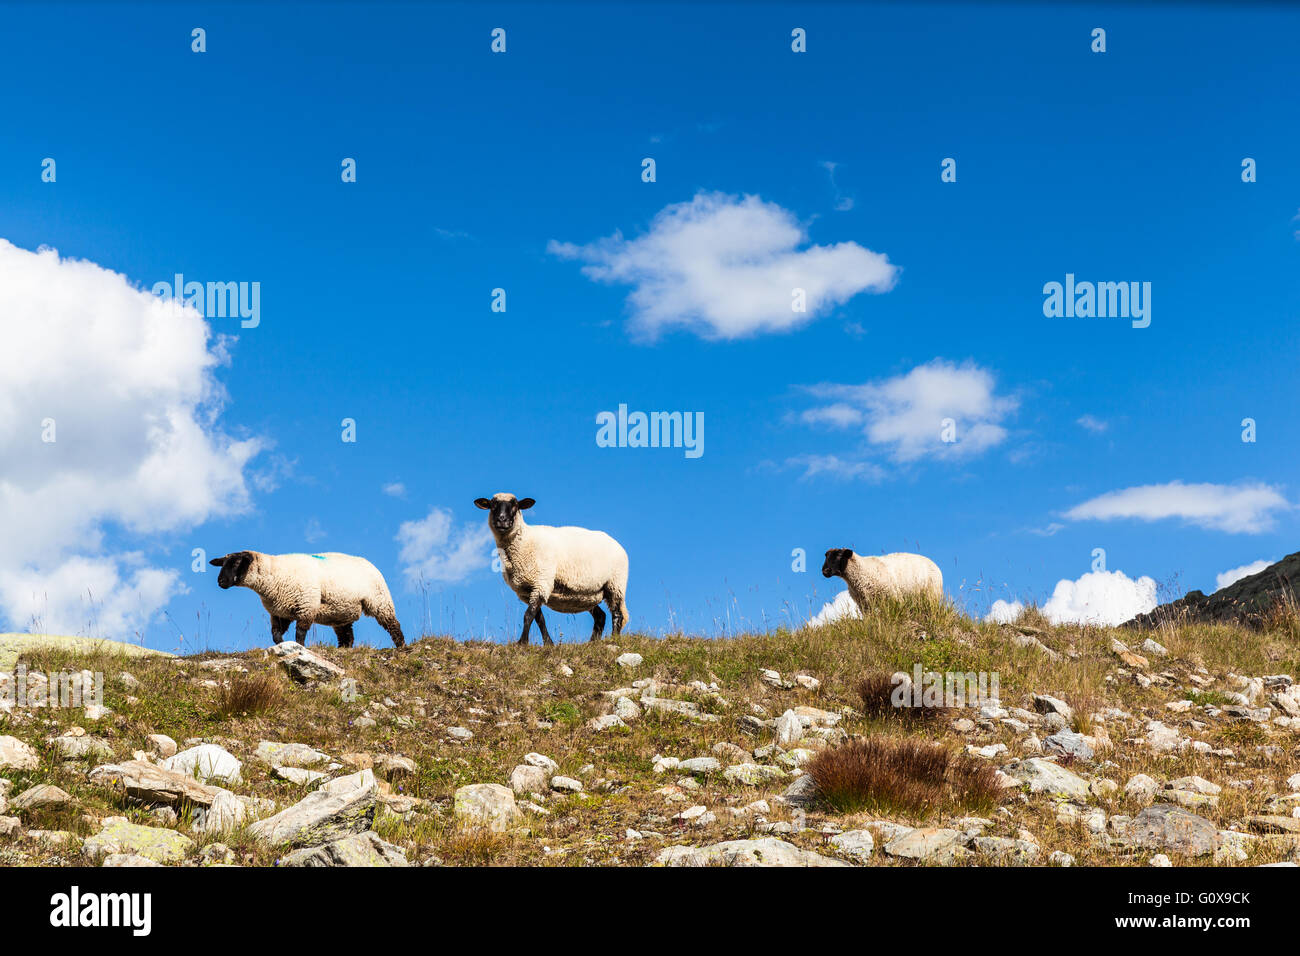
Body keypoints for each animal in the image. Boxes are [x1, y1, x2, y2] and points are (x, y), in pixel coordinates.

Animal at [208, 551, 405, 648]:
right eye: (222, 563)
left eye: (236, 563)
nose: (220, 581)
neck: (274, 575)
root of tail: (369, 563)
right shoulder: (280, 613)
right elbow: (275, 635)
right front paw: (282, 644)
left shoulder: (306, 606)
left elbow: (300, 634)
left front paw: (300, 648)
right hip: (341, 611)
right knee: (347, 636)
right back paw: (343, 649)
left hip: (380, 601)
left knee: (393, 625)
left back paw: (401, 646)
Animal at [474, 493, 629, 645]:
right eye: (493, 505)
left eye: (515, 505)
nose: (502, 520)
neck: (525, 541)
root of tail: (617, 544)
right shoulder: (526, 591)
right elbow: (539, 619)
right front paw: (548, 643)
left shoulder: (542, 582)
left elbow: (528, 615)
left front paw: (522, 642)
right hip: (588, 595)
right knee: (600, 616)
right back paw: (592, 643)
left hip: (615, 585)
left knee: (617, 615)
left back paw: (614, 639)